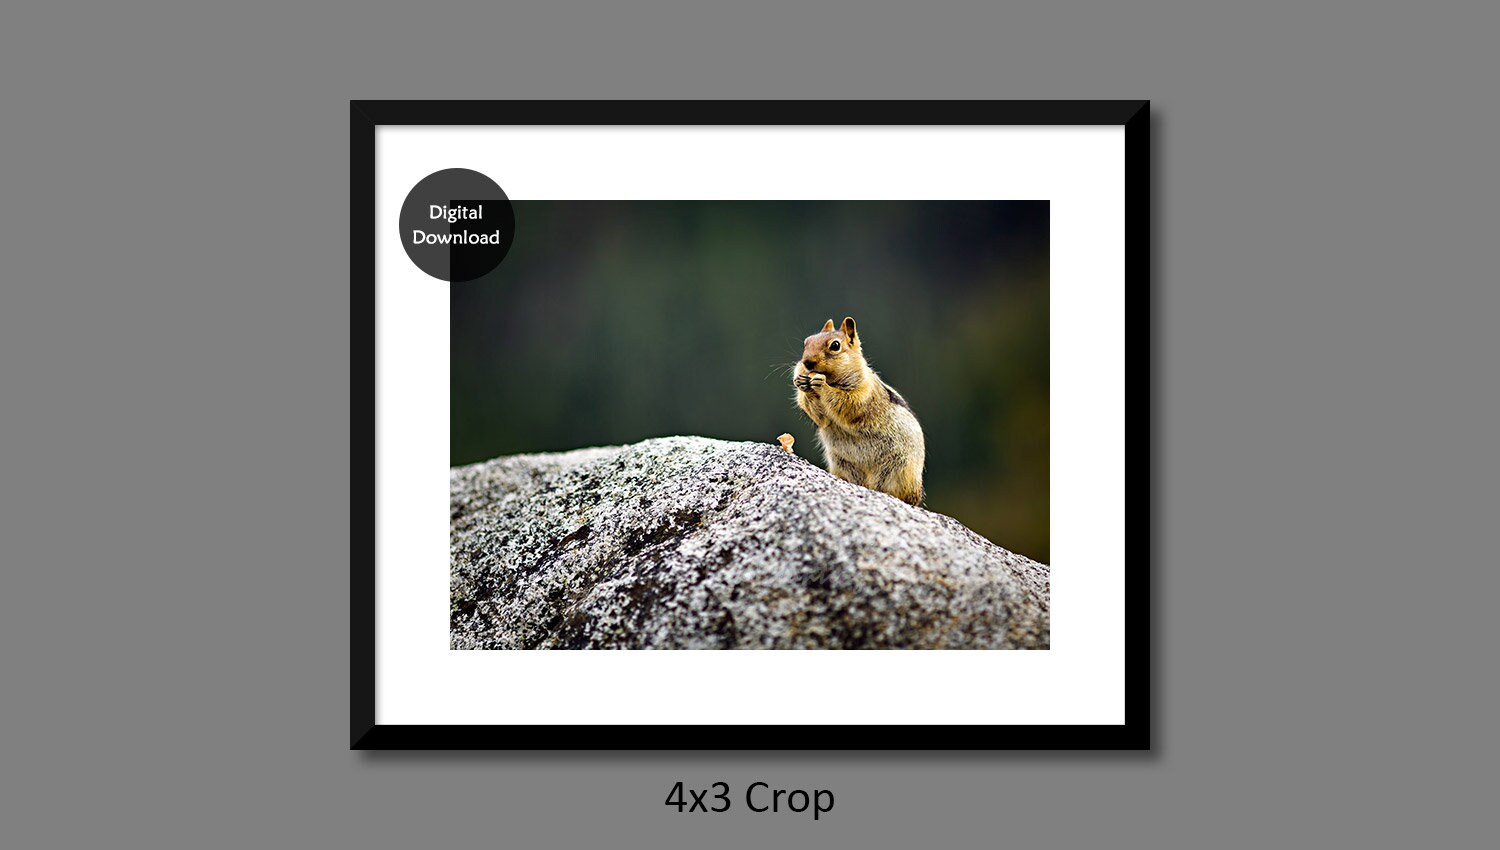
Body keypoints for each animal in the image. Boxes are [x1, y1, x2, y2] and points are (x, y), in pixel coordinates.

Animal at [793, 316, 926, 506]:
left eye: (835, 345)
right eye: (806, 341)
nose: (807, 363)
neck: (834, 380)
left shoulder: (863, 392)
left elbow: (848, 403)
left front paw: (821, 385)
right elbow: (820, 418)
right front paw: (802, 383)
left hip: (900, 471)